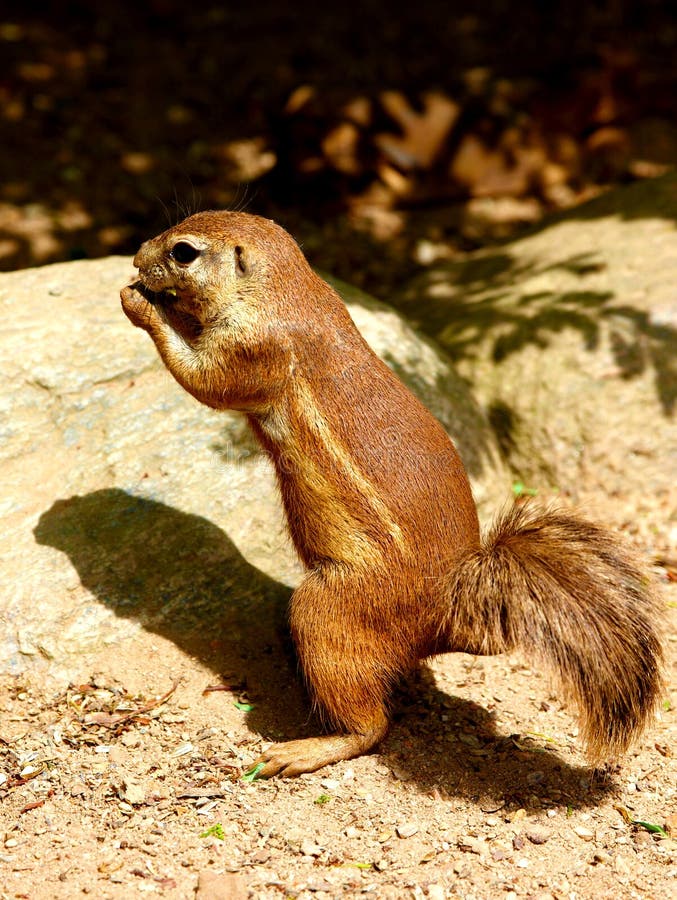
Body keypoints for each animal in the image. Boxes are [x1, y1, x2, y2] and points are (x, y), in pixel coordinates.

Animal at [121, 210, 664, 777]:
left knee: (373, 726)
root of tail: (451, 612)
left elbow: (205, 379)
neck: (287, 292)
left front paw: (141, 303)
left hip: (325, 611)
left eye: (183, 251)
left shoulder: (252, 351)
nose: (136, 255)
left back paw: (301, 751)